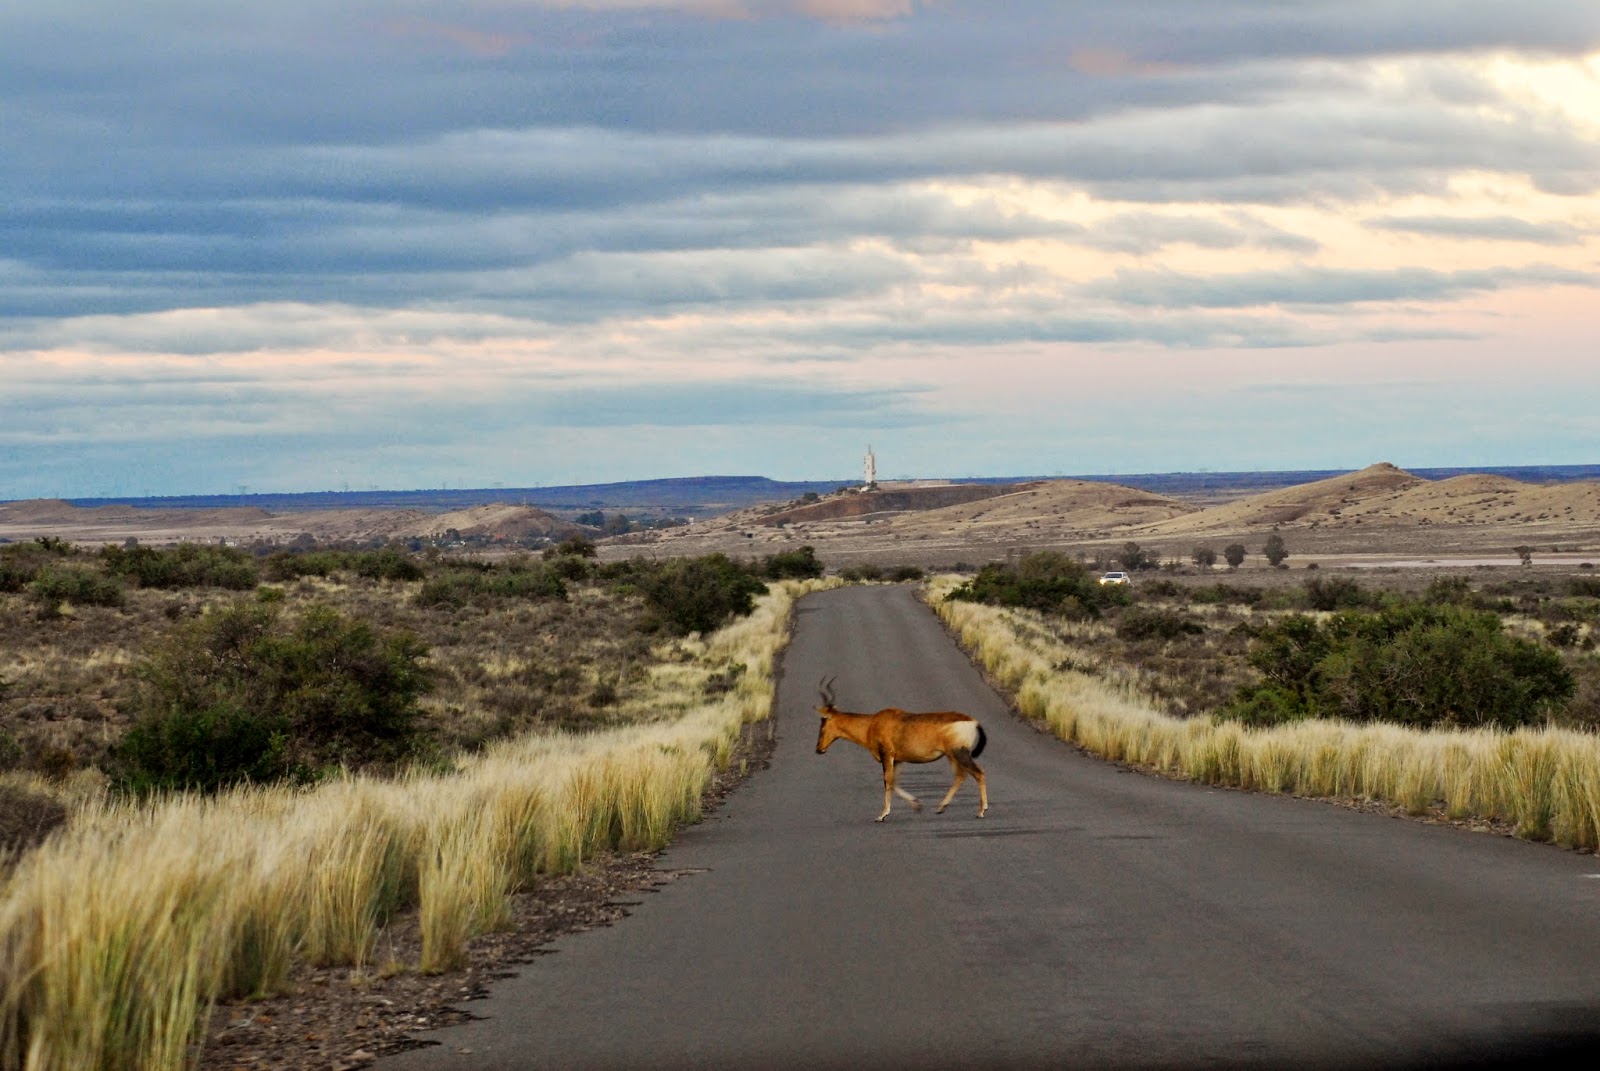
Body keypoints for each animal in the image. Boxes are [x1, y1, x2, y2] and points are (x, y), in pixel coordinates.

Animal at [814, 676, 988, 822]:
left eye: (823, 721)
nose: (819, 749)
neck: (872, 723)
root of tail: (972, 721)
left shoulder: (887, 755)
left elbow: (888, 781)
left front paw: (882, 815)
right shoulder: (897, 760)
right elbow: (895, 782)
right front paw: (917, 806)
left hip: (959, 753)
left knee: (978, 773)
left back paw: (981, 811)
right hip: (951, 756)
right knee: (961, 775)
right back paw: (941, 807)